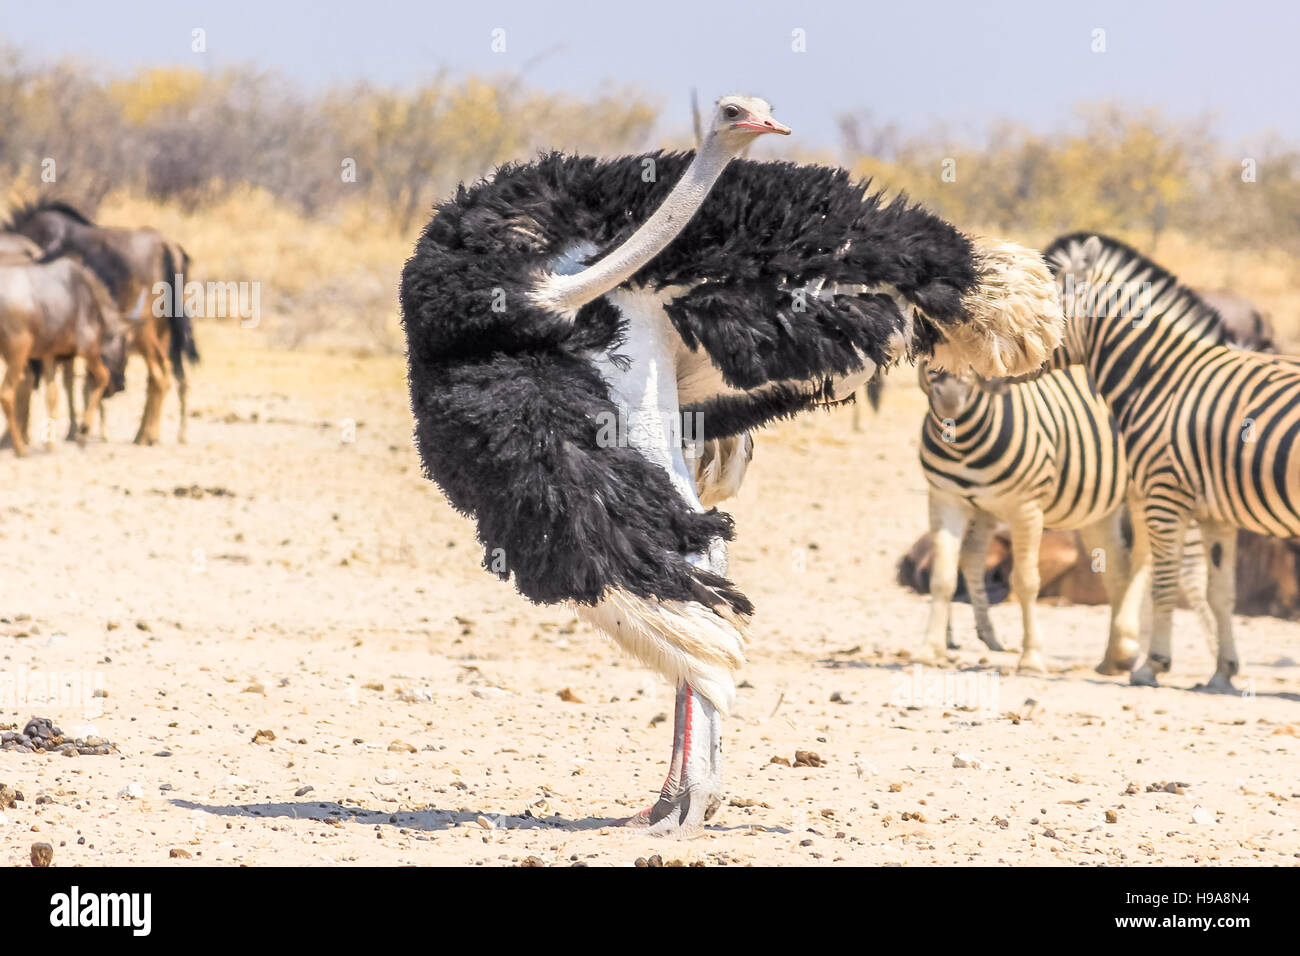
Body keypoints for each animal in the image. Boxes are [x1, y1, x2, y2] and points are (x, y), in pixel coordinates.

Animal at [1046, 232, 1300, 690]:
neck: (1161, 379)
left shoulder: (1165, 496)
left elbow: (1164, 585)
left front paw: (1153, 665)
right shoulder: (1217, 515)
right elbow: (1221, 594)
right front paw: (1223, 672)